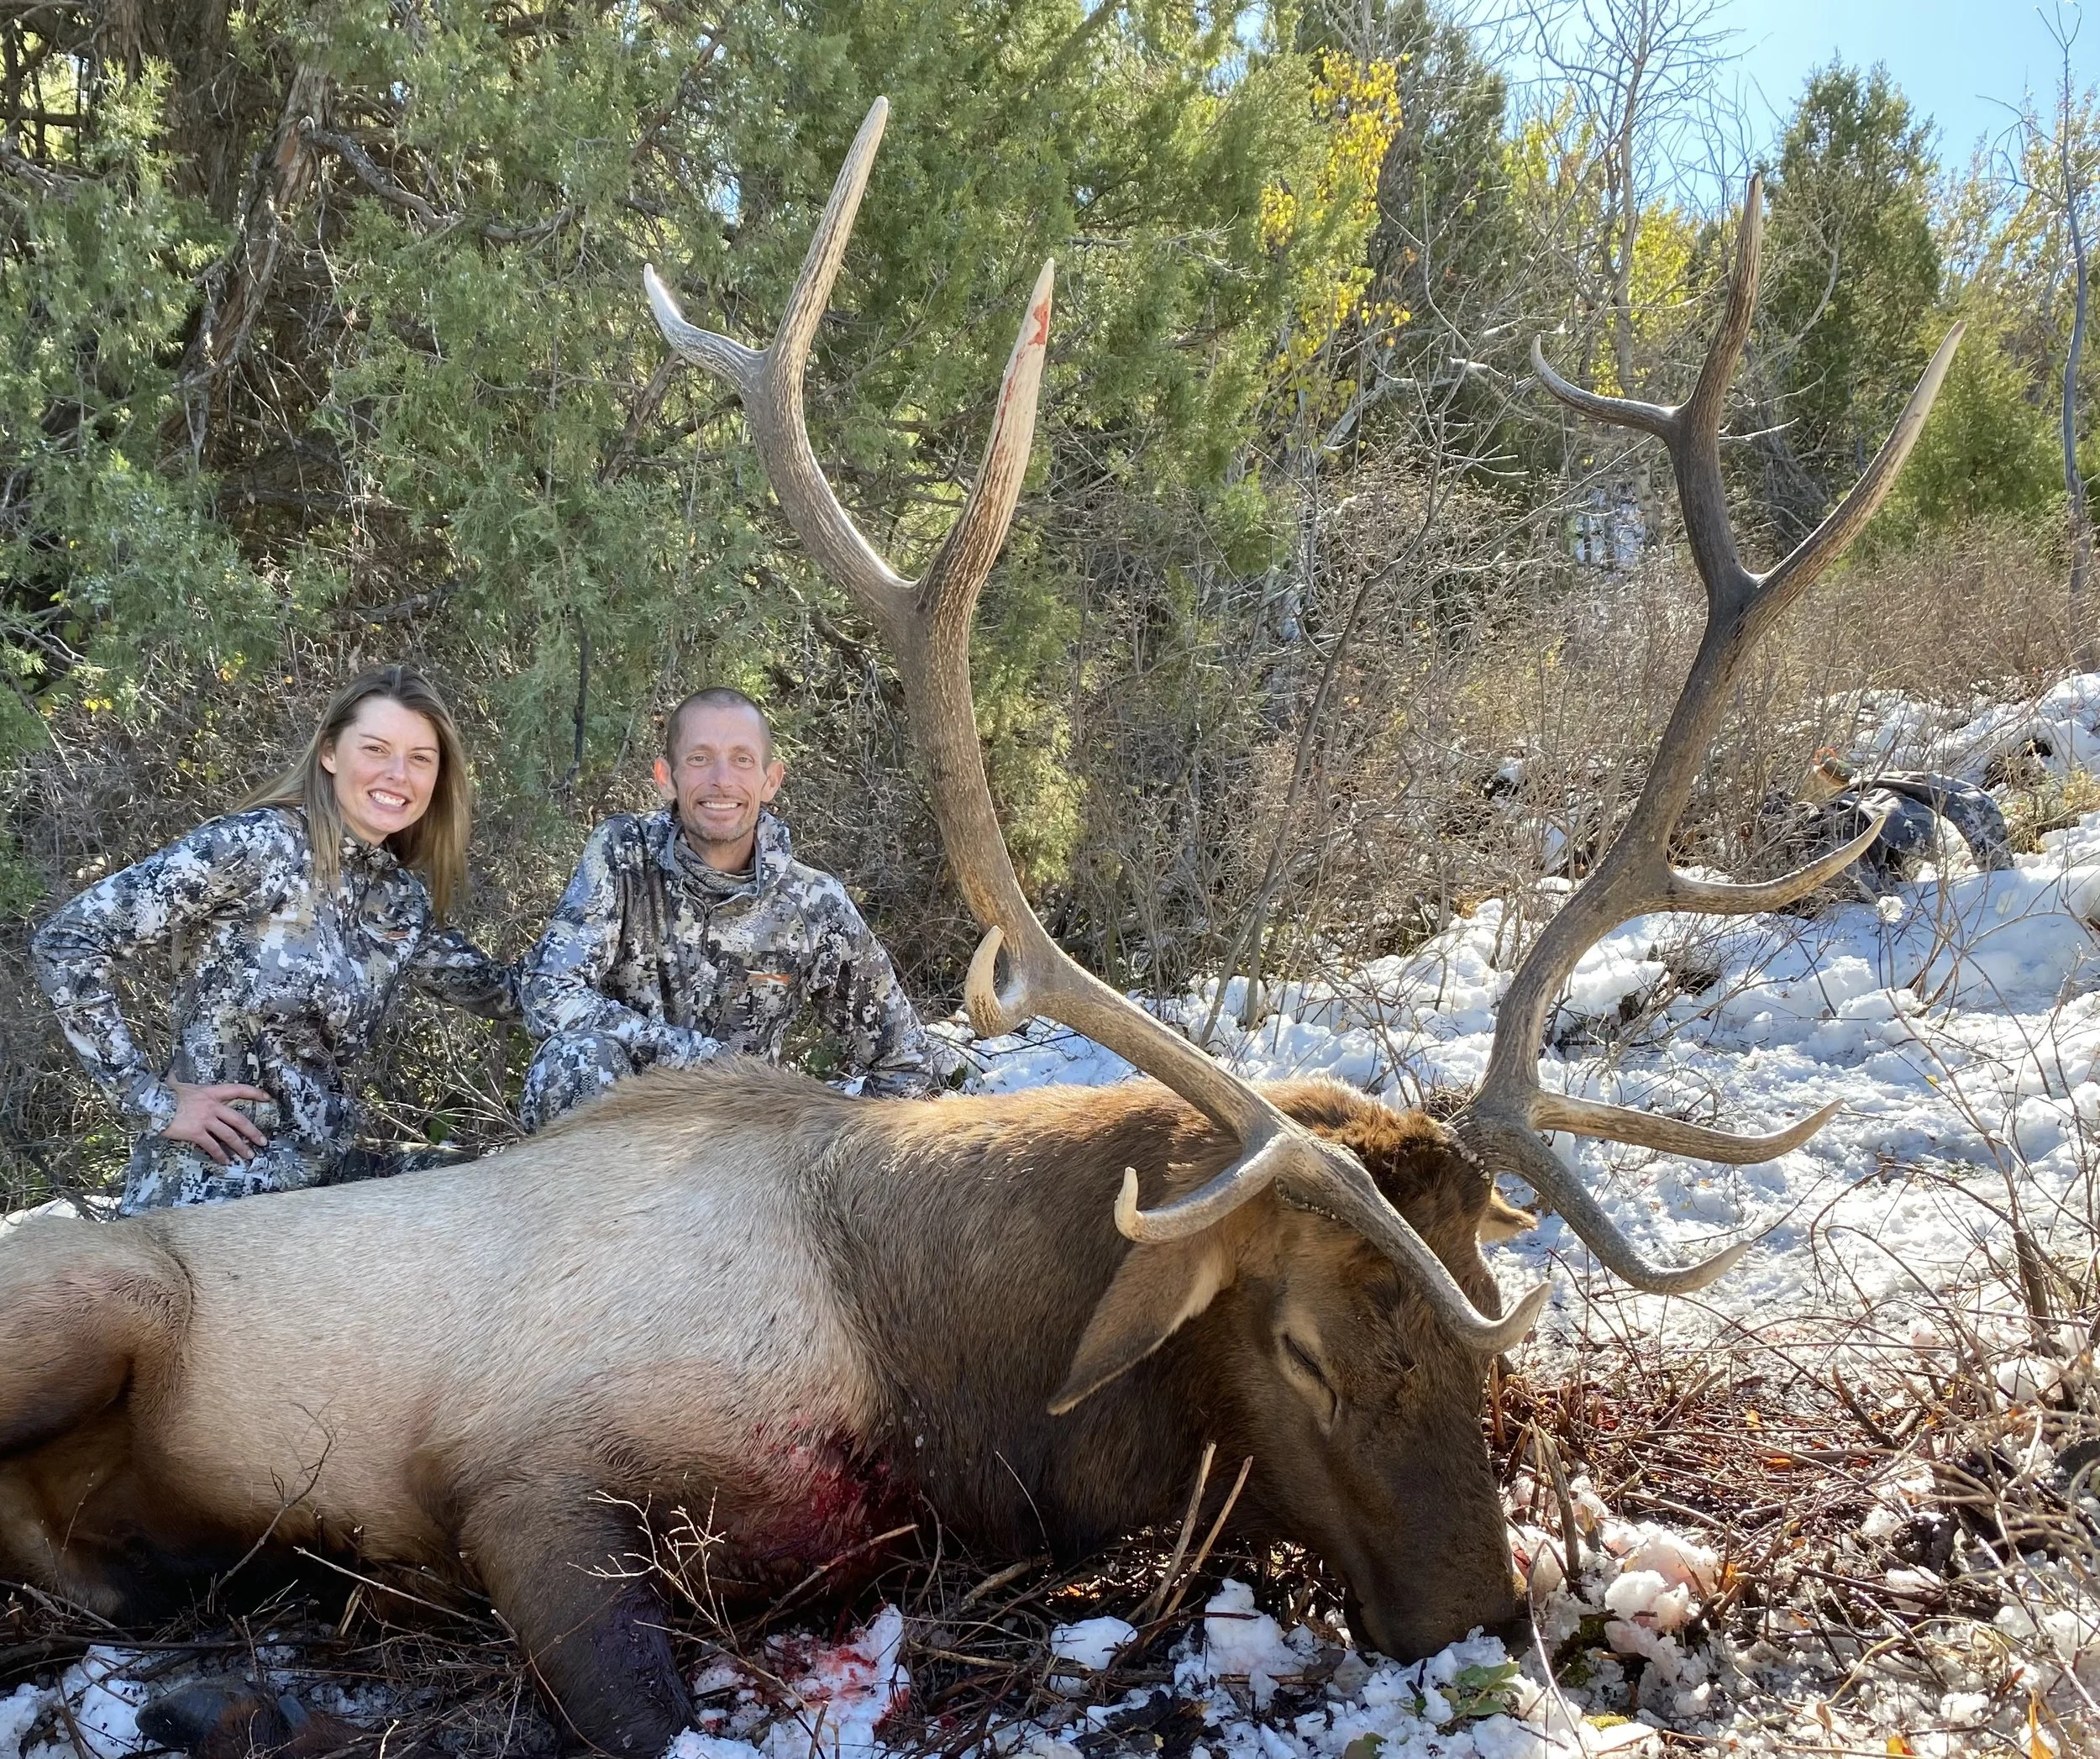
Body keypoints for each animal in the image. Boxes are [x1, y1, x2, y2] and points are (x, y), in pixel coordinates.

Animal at [0, 101, 1955, 1758]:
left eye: (1489, 1317)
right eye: (1304, 1346)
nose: (1482, 1619)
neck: (925, 1360)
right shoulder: (517, 1461)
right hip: (92, 1296)